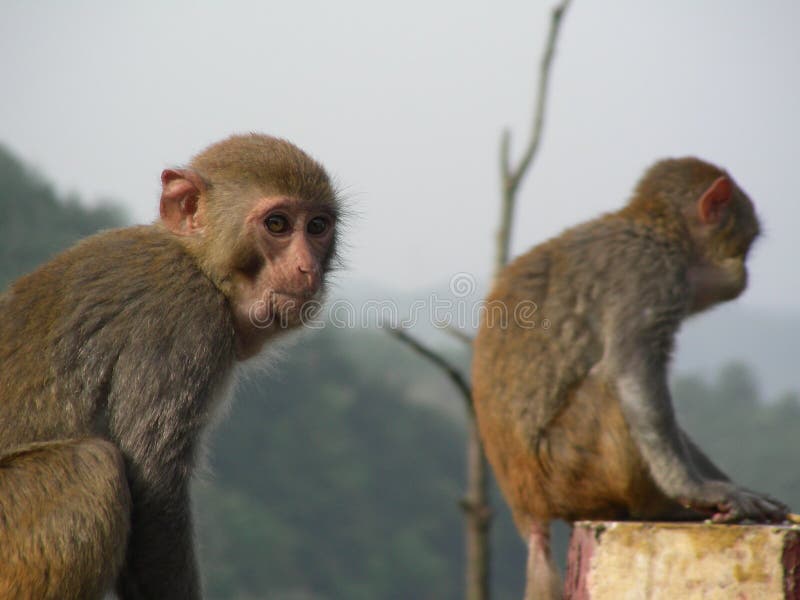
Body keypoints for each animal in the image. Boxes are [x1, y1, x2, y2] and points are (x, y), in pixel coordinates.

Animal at [0, 133, 340, 599]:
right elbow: (155, 493)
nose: (307, 268)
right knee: (93, 467)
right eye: (277, 225)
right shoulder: (184, 328)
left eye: (317, 227)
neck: (199, 265)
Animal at [471, 157, 790, 599]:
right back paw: (660, 508)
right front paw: (697, 490)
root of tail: (528, 506)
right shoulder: (652, 278)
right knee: (609, 384)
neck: (657, 229)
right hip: (571, 470)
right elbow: (635, 374)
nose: (745, 274)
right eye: (747, 241)